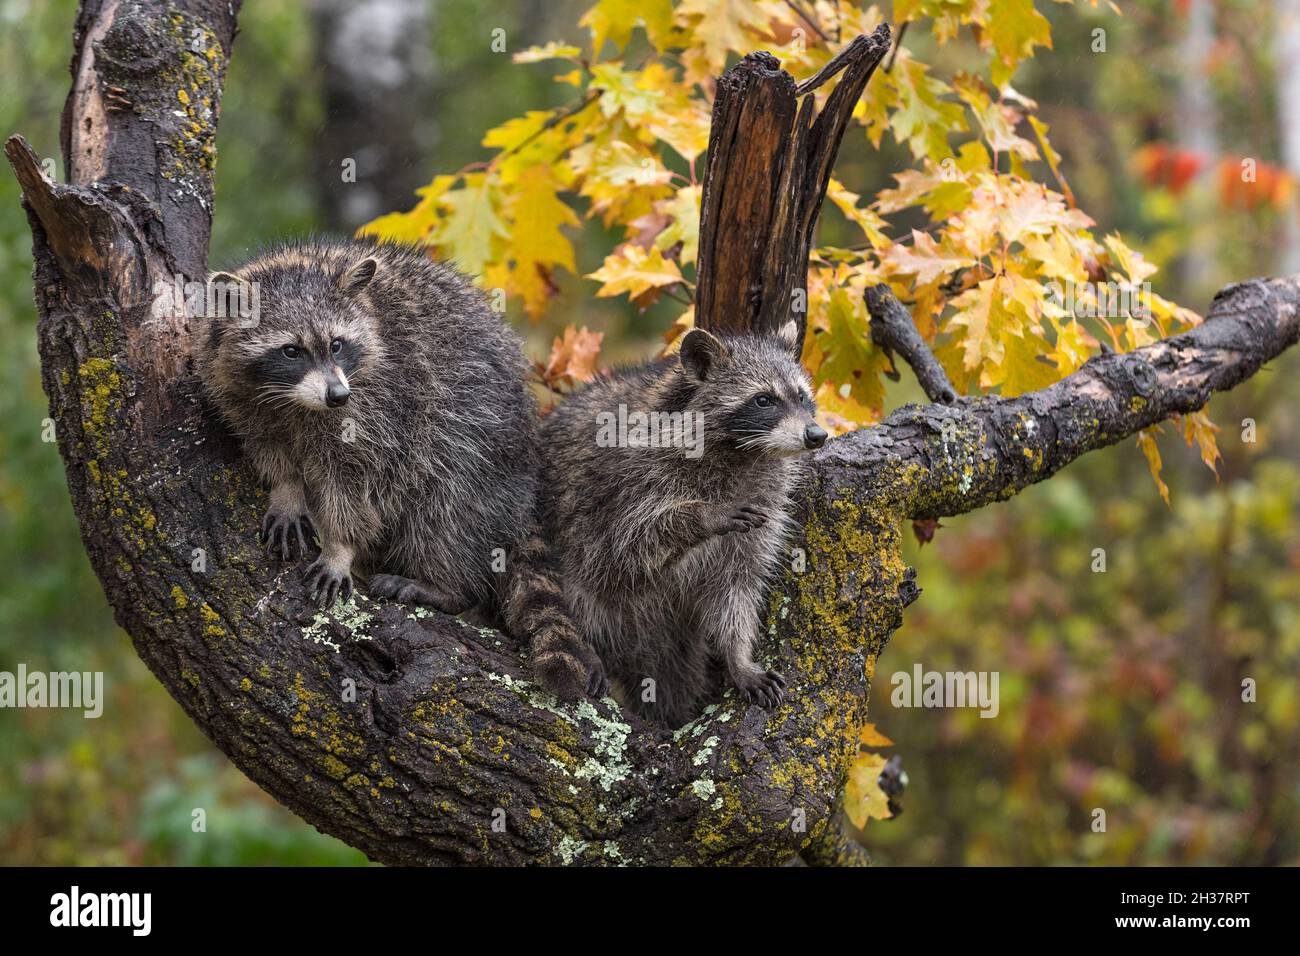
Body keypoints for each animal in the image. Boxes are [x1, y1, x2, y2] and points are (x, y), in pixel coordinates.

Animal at [197, 237, 604, 698]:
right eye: (291, 350)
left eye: (337, 344)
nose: (337, 395)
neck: (295, 404)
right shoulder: (239, 394)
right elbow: (270, 448)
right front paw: (286, 490)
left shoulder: (385, 403)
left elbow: (355, 483)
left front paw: (340, 546)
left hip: (477, 443)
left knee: (447, 509)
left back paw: (443, 586)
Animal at [537, 323, 826, 726]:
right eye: (763, 400)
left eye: (802, 396)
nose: (816, 435)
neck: (744, 453)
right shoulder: (627, 480)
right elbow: (629, 544)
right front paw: (699, 516)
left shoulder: (765, 505)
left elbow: (737, 583)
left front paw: (738, 656)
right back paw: (584, 644)